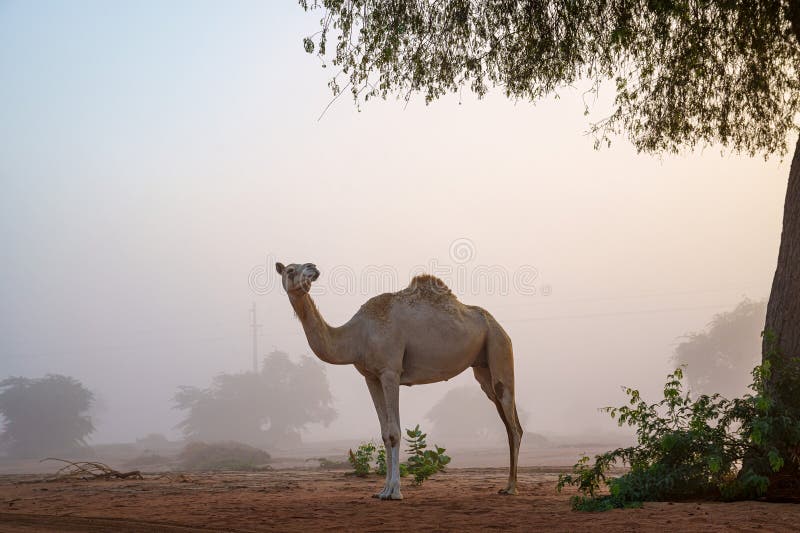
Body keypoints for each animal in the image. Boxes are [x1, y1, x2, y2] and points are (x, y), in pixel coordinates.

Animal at [276, 262, 523, 500]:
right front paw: (382, 491)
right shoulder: (371, 377)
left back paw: (511, 487)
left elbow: (394, 432)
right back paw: (507, 485)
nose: (312, 268)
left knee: (513, 425)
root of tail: (499, 326)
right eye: (290, 270)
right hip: (483, 368)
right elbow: (385, 433)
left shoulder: (390, 372)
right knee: (508, 421)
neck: (357, 336)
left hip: (499, 347)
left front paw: (395, 491)